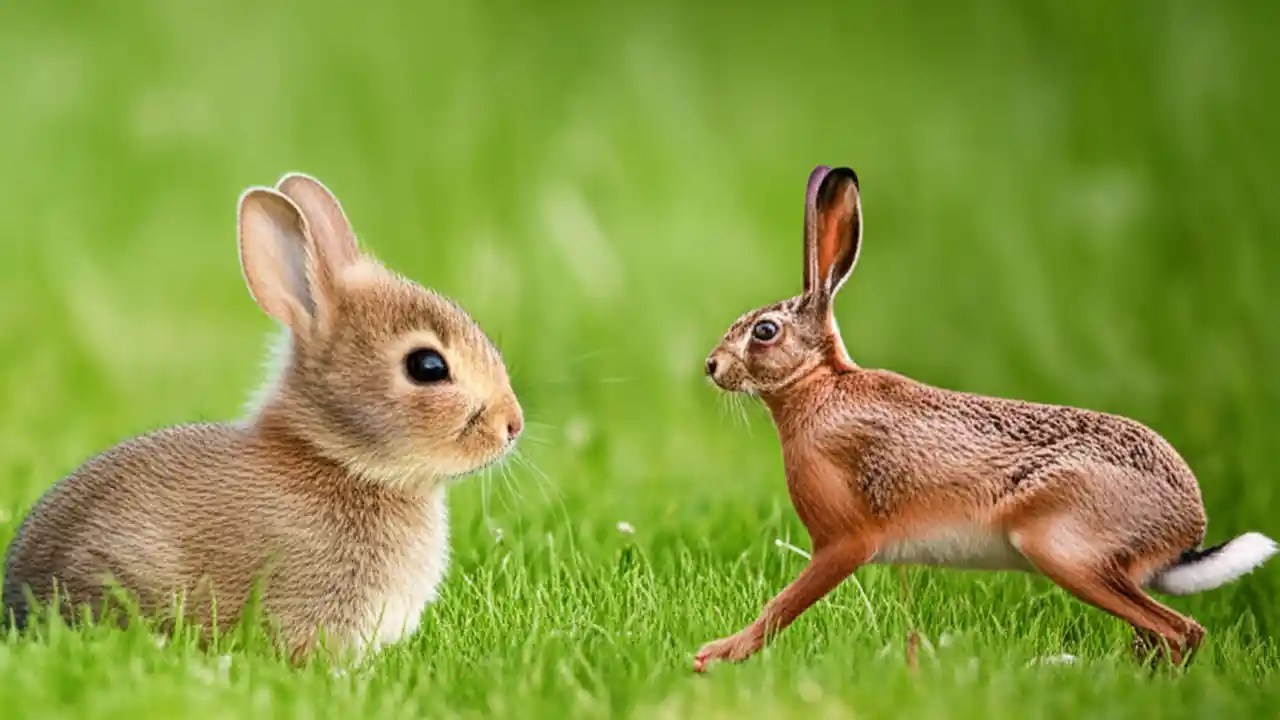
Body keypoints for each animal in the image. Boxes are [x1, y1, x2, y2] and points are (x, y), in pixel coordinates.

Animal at [695, 165, 1277, 671]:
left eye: (764, 331)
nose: (712, 366)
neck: (818, 387)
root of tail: (1185, 527)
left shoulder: (844, 542)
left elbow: (783, 604)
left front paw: (716, 655)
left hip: (1065, 549)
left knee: (1179, 631)